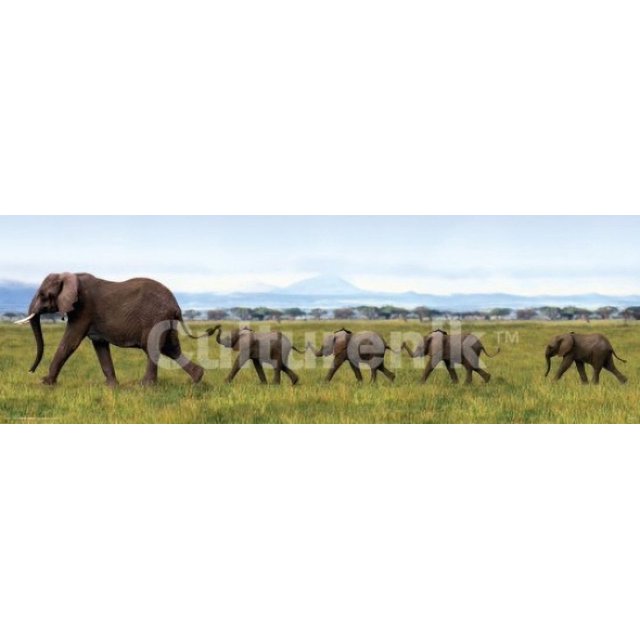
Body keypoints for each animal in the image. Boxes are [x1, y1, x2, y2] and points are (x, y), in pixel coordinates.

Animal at [14, 272, 212, 386]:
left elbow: (70, 342)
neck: (69, 275)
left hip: (155, 318)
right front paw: (111, 387)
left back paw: (145, 386)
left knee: (153, 348)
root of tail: (176, 305)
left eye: (42, 295)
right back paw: (197, 379)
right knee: (171, 348)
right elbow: (100, 346)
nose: (30, 372)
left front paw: (45, 383)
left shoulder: (83, 309)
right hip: (165, 321)